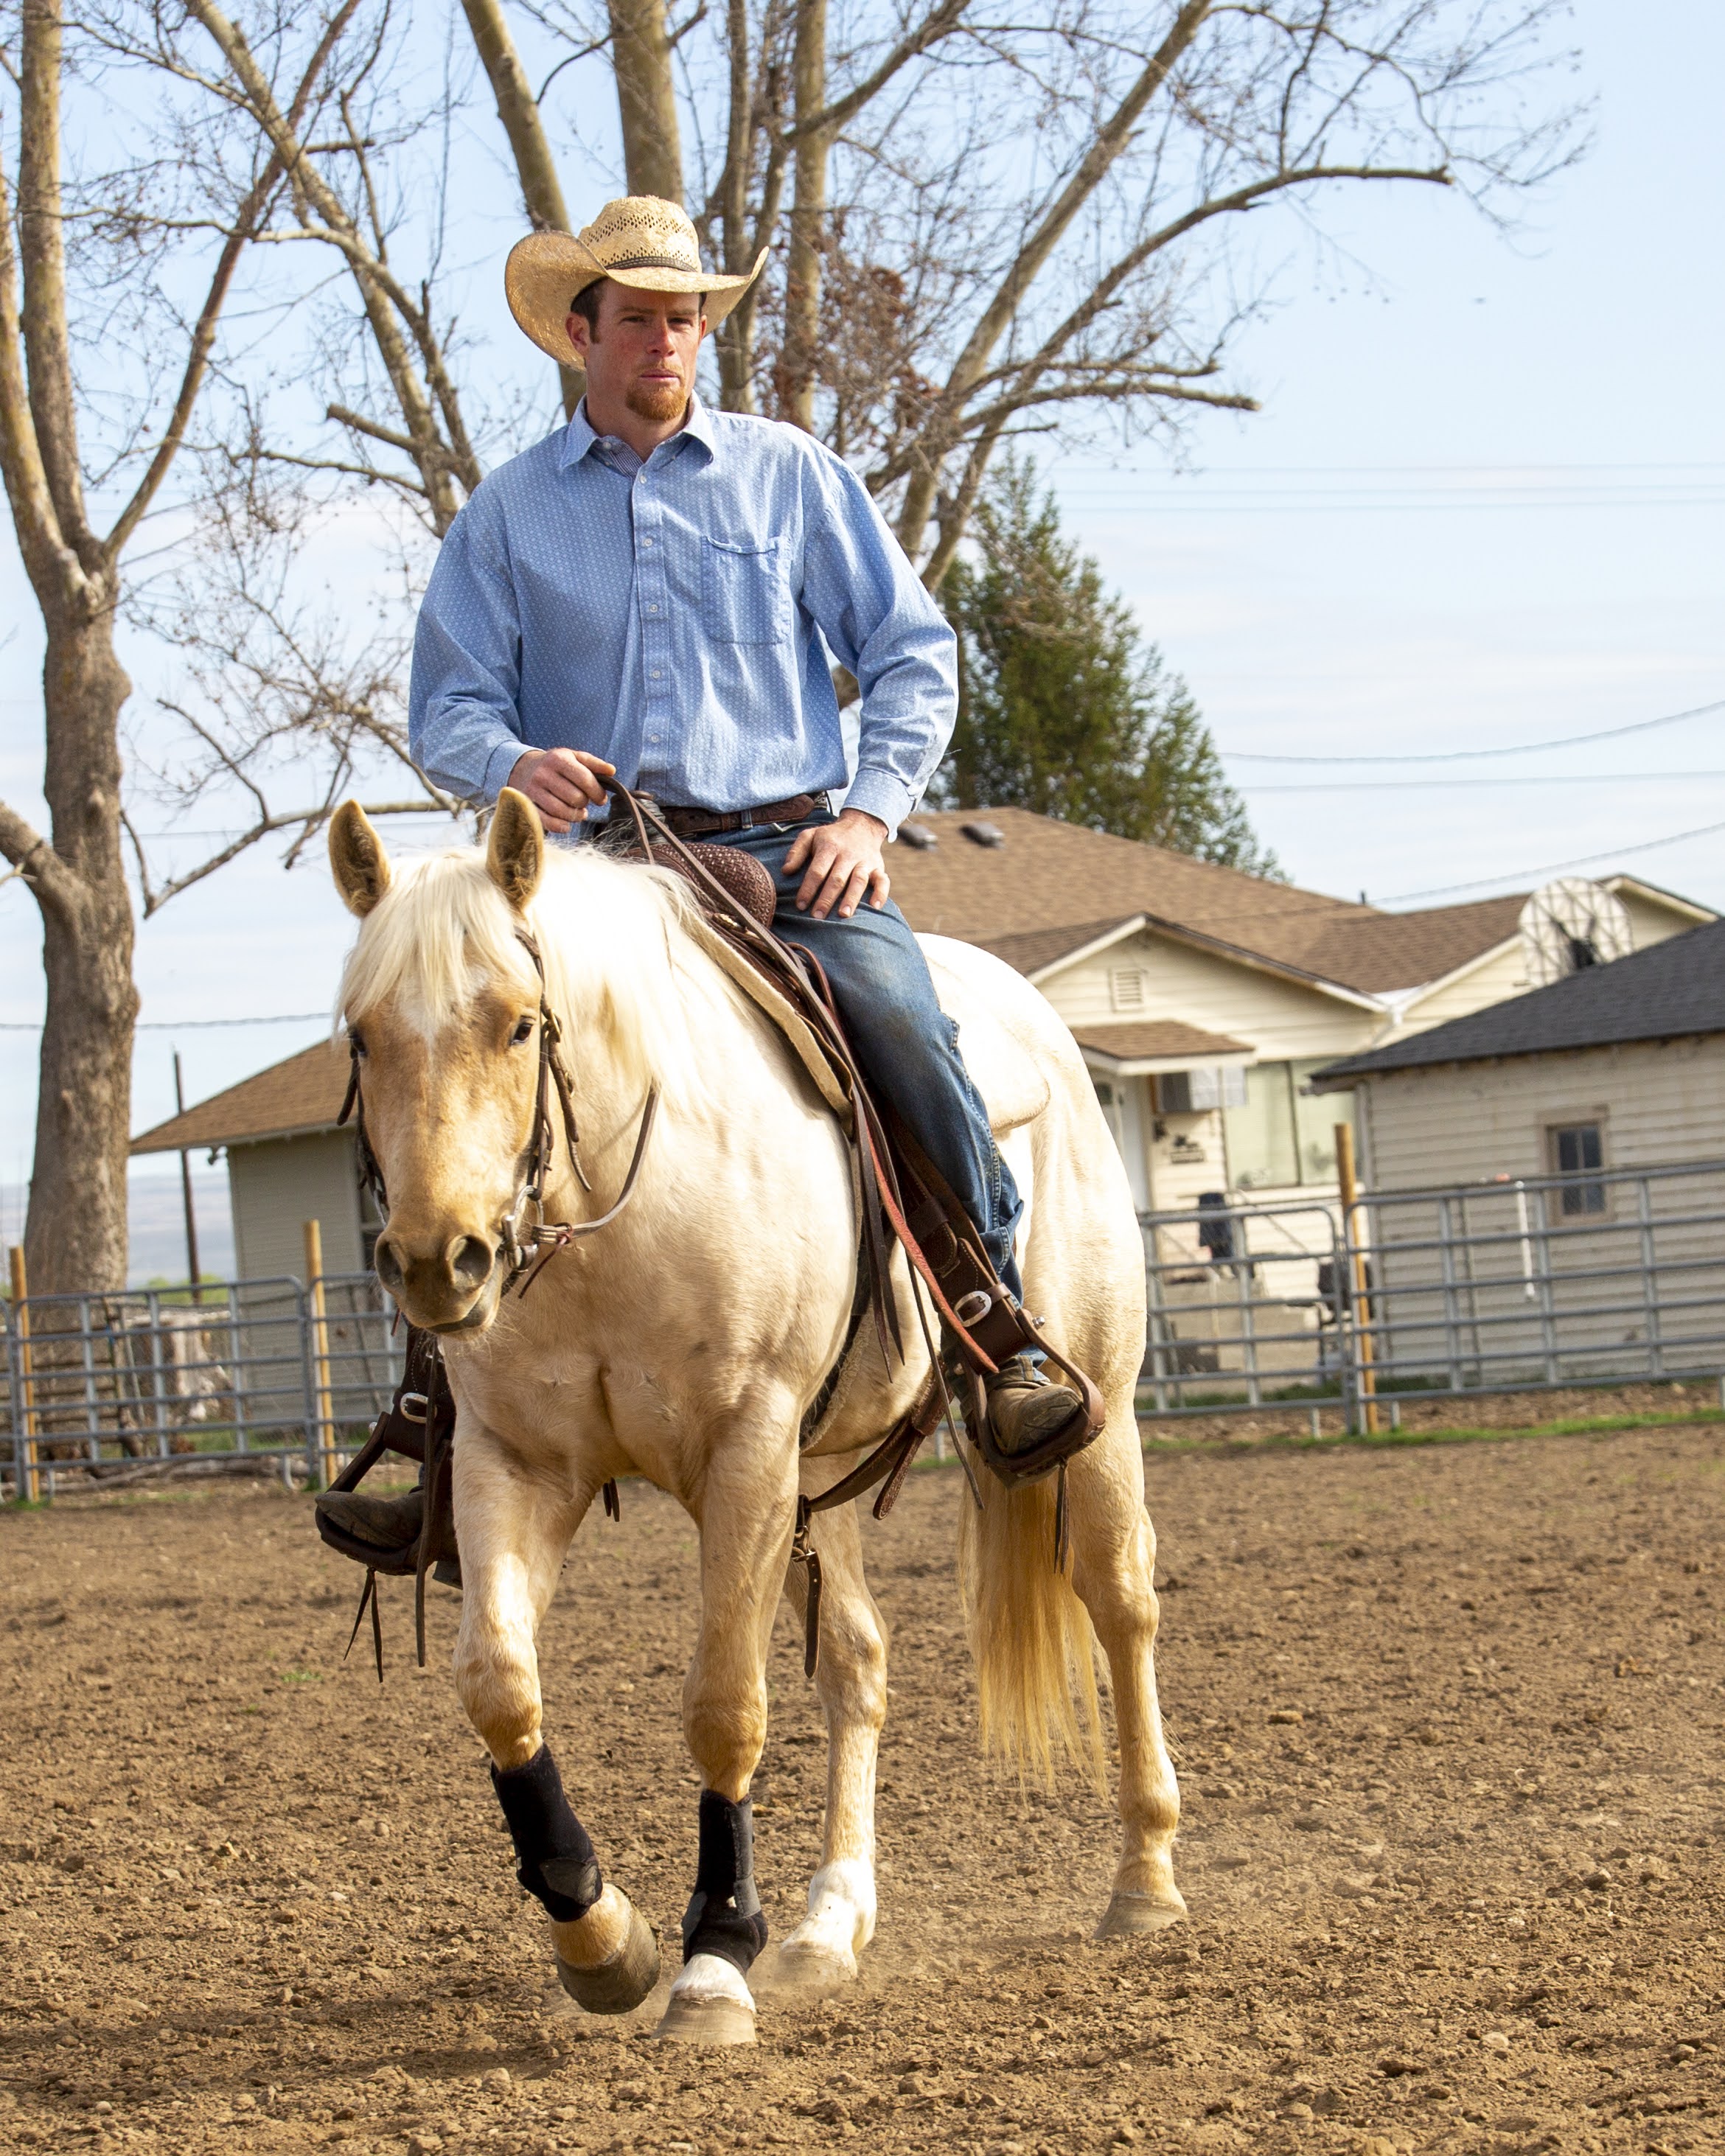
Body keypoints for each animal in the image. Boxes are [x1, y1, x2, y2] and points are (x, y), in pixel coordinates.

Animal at [328, 790, 1184, 2044]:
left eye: (521, 1024)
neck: (616, 1200)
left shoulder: (745, 1452)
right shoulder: (511, 1465)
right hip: (814, 1484)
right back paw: (831, 1924)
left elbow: (725, 1708)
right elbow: (499, 1686)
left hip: (1097, 1411)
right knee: (860, 1664)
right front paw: (602, 1936)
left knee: (1120, 1604)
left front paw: (715, 1957)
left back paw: (1145, 1881)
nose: (443, 1261)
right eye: (360, 1036)